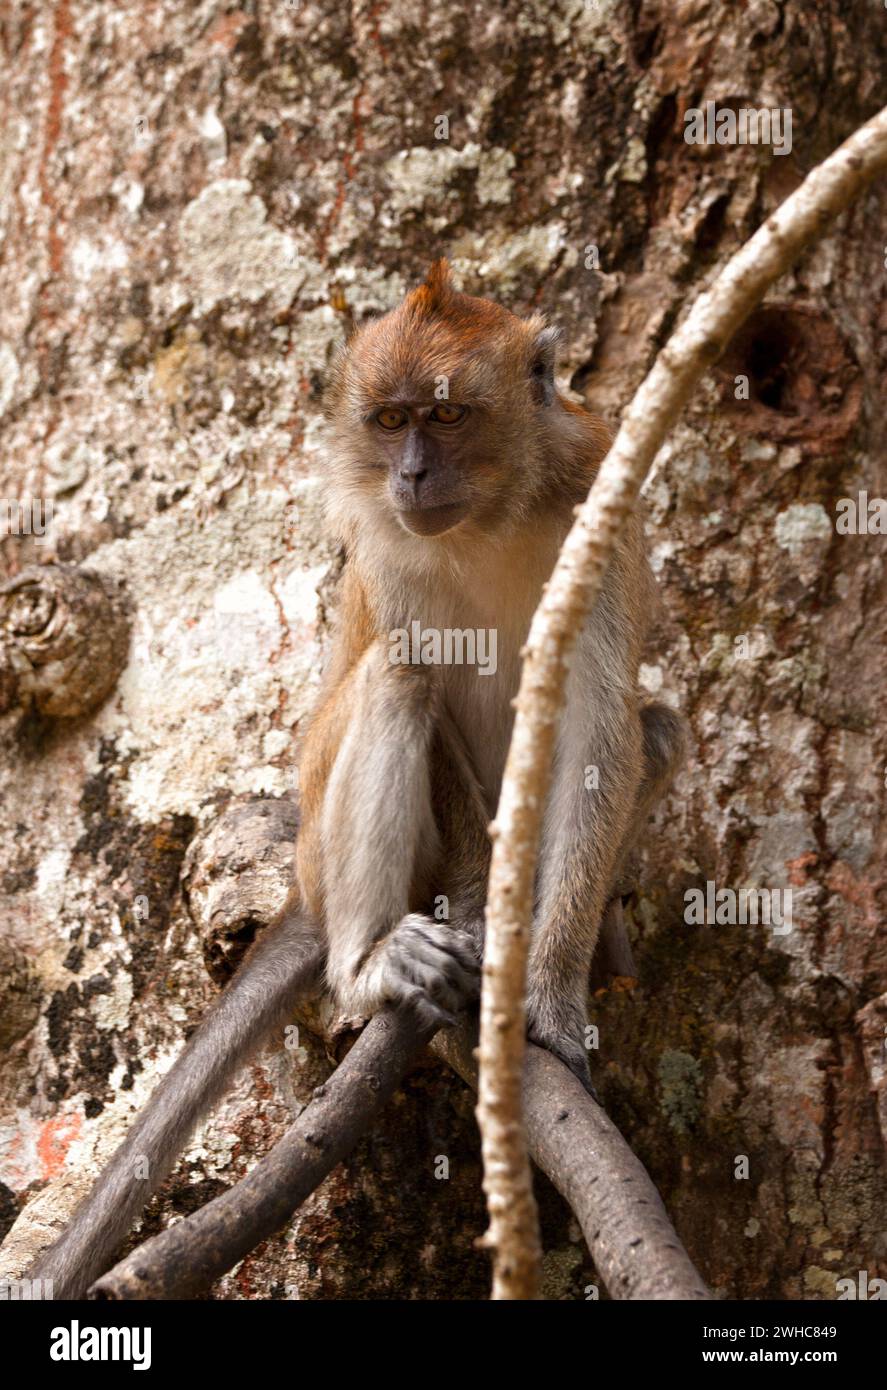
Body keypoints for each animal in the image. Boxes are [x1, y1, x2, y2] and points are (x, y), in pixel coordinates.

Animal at [27, 261, 683, 1298]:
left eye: (445, 416)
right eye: (388, 421)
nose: (410, 473)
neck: (494, 509)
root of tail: (303, 881)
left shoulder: (600, 495)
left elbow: (599, 725)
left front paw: (549, 996)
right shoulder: (381, 536)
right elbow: (419, 672)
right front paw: (474, 917)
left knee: (653, 732)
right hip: (321, 844)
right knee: (398, 678)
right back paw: (372, 959)